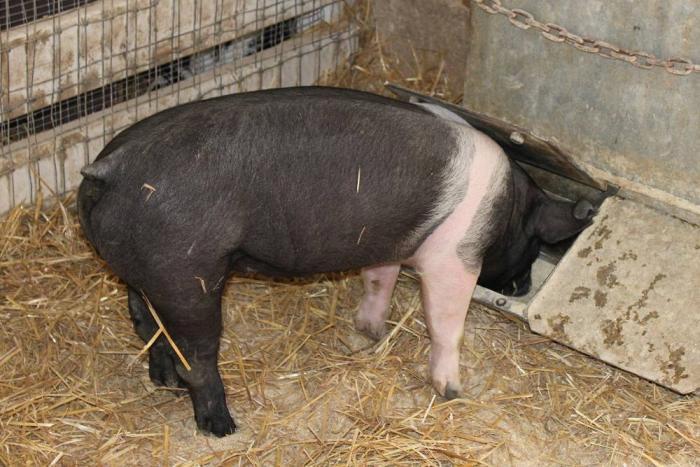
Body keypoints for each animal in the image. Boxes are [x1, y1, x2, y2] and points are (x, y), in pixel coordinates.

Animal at [77, 87, 595, 437]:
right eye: (533, 244)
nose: (522, 288)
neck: (508, 207)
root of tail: (109, 168)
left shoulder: (388, 244)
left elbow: (378, 281)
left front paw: (370, 332)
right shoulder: (453, 258)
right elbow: (446, 323)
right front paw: (452, 391)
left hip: (145, 271)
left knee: (143, 320)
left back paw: (163, 381)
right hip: (186, 274)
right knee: (197, 356)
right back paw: (223, 426)